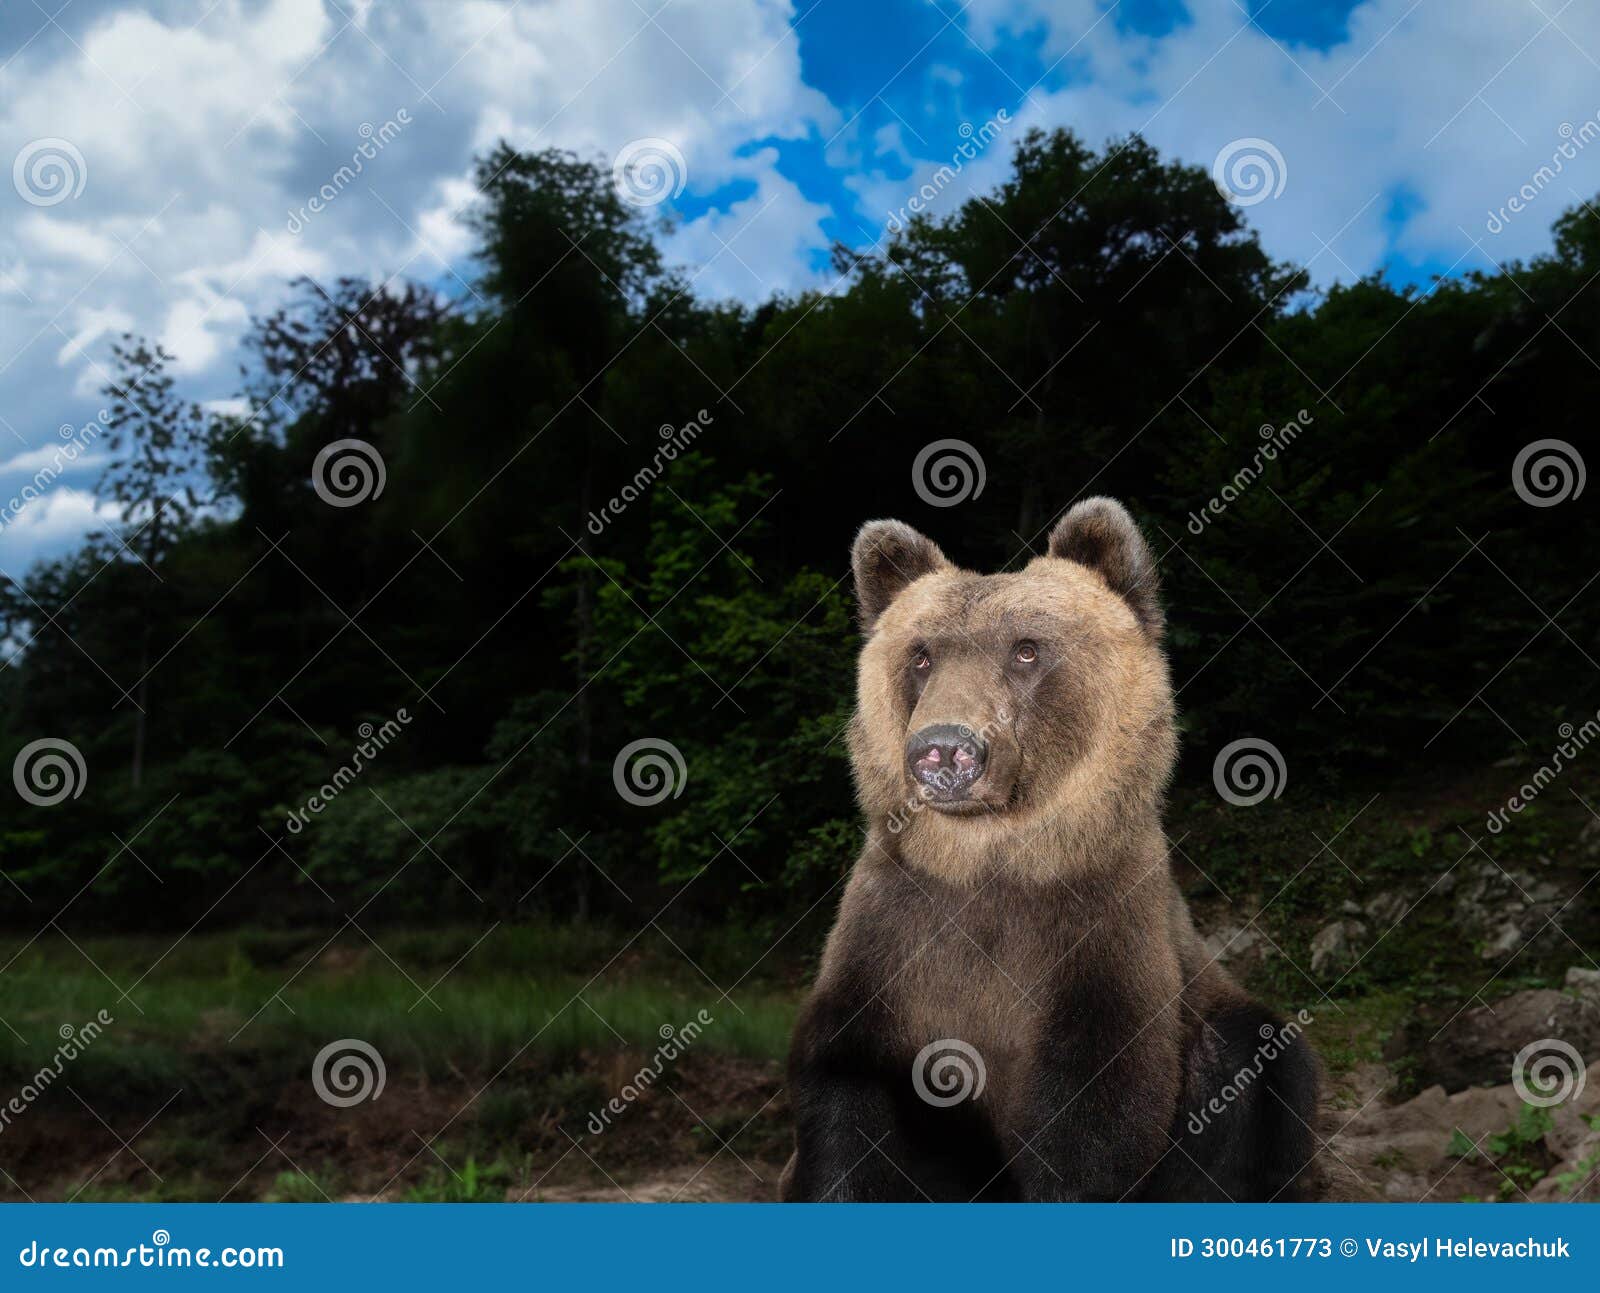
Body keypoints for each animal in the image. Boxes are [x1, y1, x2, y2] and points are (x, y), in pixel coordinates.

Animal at [778, 497, 1322, 1202]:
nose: (944, 750)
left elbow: (1096, 1117)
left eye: (1027, 651)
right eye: (921, 656)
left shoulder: (1098, 931)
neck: (991, 856)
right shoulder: (891, 933)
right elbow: (848, 1095)